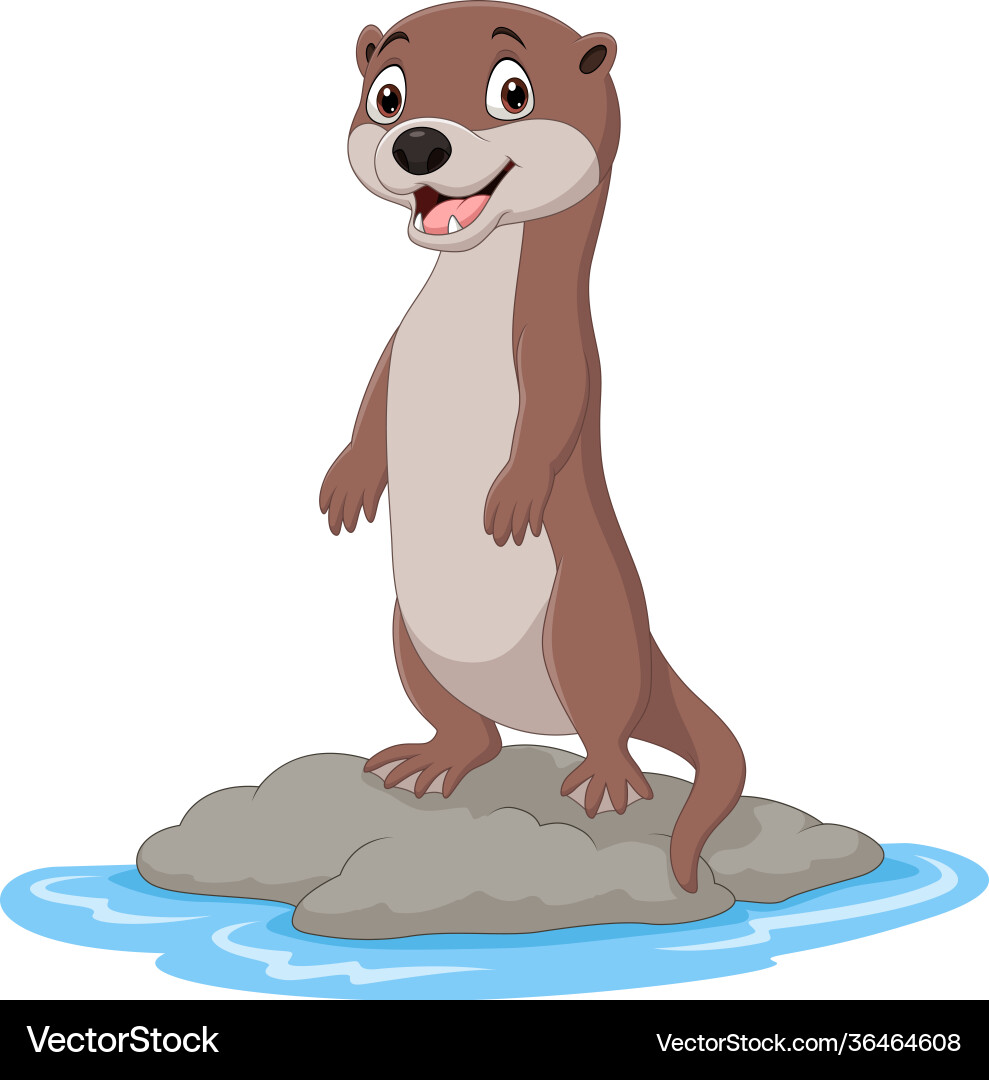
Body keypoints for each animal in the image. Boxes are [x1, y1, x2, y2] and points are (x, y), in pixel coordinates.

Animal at [319, 1, 745, 893]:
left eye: (511, 92)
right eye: (387, 94)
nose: (417, 143)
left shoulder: (555, 348)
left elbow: (554, 412)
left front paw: (513, 492)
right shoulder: (397, 346)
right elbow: (372, 399)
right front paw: (348, 480)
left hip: (586, 617)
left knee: (607, 718)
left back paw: (608, 779)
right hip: (410, 636)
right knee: (471, 731)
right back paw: (431, 759)